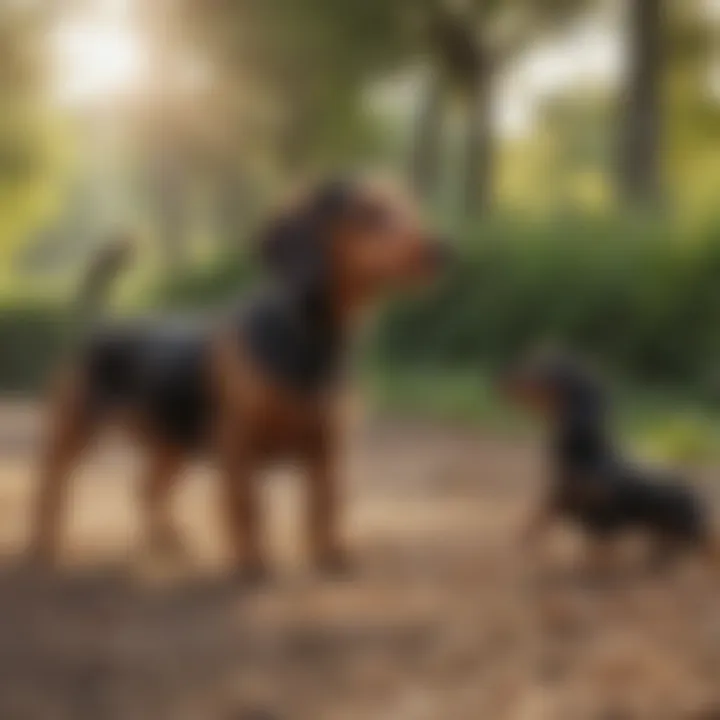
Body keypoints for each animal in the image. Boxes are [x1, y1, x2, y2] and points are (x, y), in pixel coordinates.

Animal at [31, 179, 448, 580]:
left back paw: (167, 540)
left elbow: (324, 507)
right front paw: (252, 562)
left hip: (173, 441)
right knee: (52, 488)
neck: (306, 335)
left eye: (407, 204)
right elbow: (247, 507)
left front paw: (331, 556)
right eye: (369, 212)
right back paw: (45, 546)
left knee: (147, 490)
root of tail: (98, 326)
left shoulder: (329, 447)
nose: (442, 250)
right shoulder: (239, 444)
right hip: (73, 430)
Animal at [504, 350, 712, 568]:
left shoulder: (594, 511)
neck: (586, 456)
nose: (505, 378)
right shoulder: (558, 499)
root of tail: (702, 504)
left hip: (677, 527)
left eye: (546, 369)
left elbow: (597, 545)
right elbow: (534, 523)